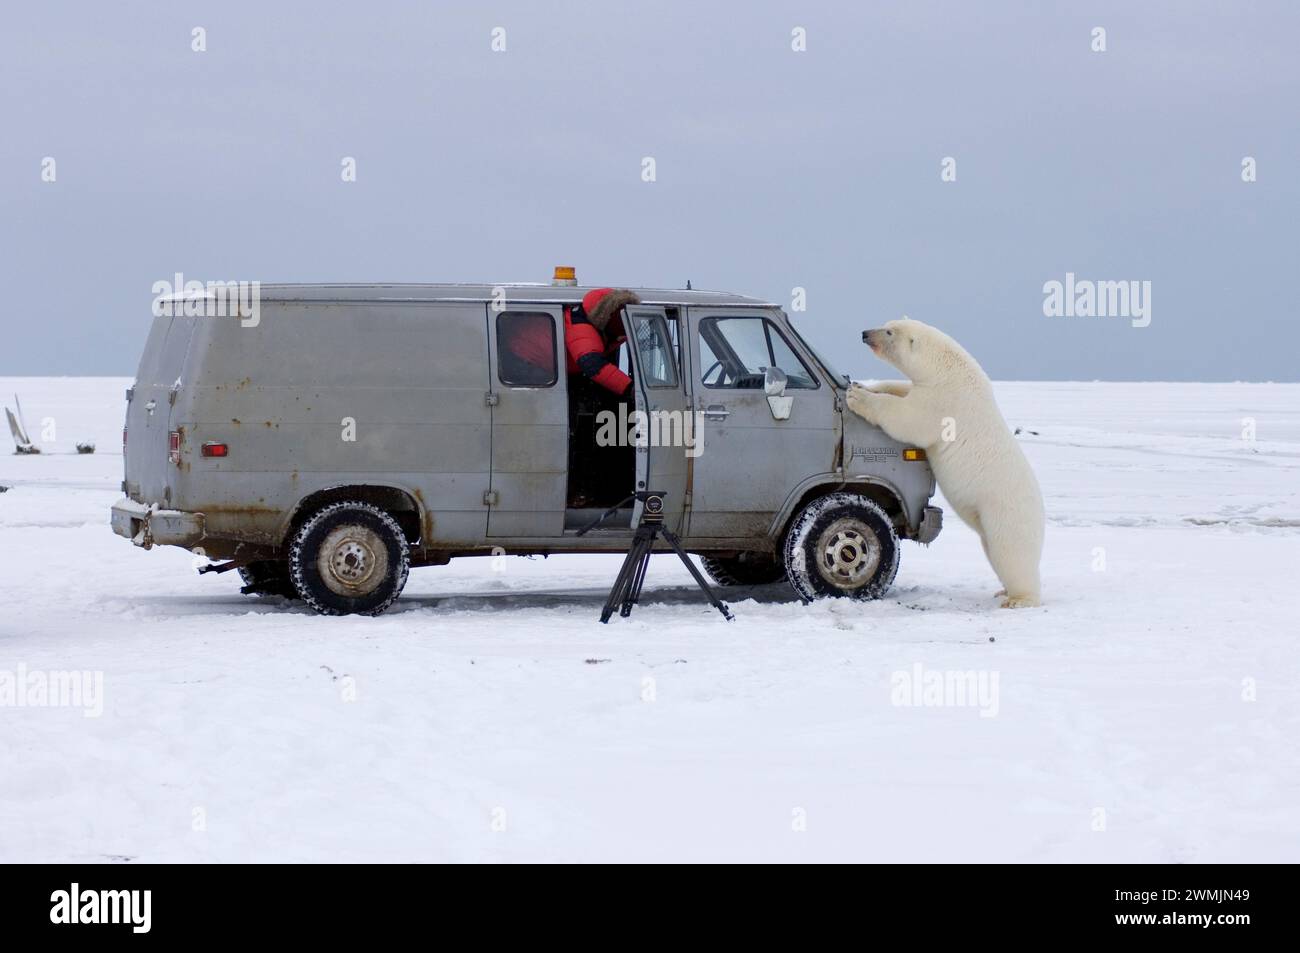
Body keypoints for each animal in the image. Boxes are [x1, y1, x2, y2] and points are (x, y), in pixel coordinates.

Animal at [845, 318, 1044, 608]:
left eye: (889, 332)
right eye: (887, 323)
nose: (864, 333)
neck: (947, 369)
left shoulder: (942, 402)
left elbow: (906, 417)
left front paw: (858, 397)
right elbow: (903, 389)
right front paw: (865, 385)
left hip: (1006, 513)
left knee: (1011, 553)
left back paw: (1019, 599)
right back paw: (1004, 591)